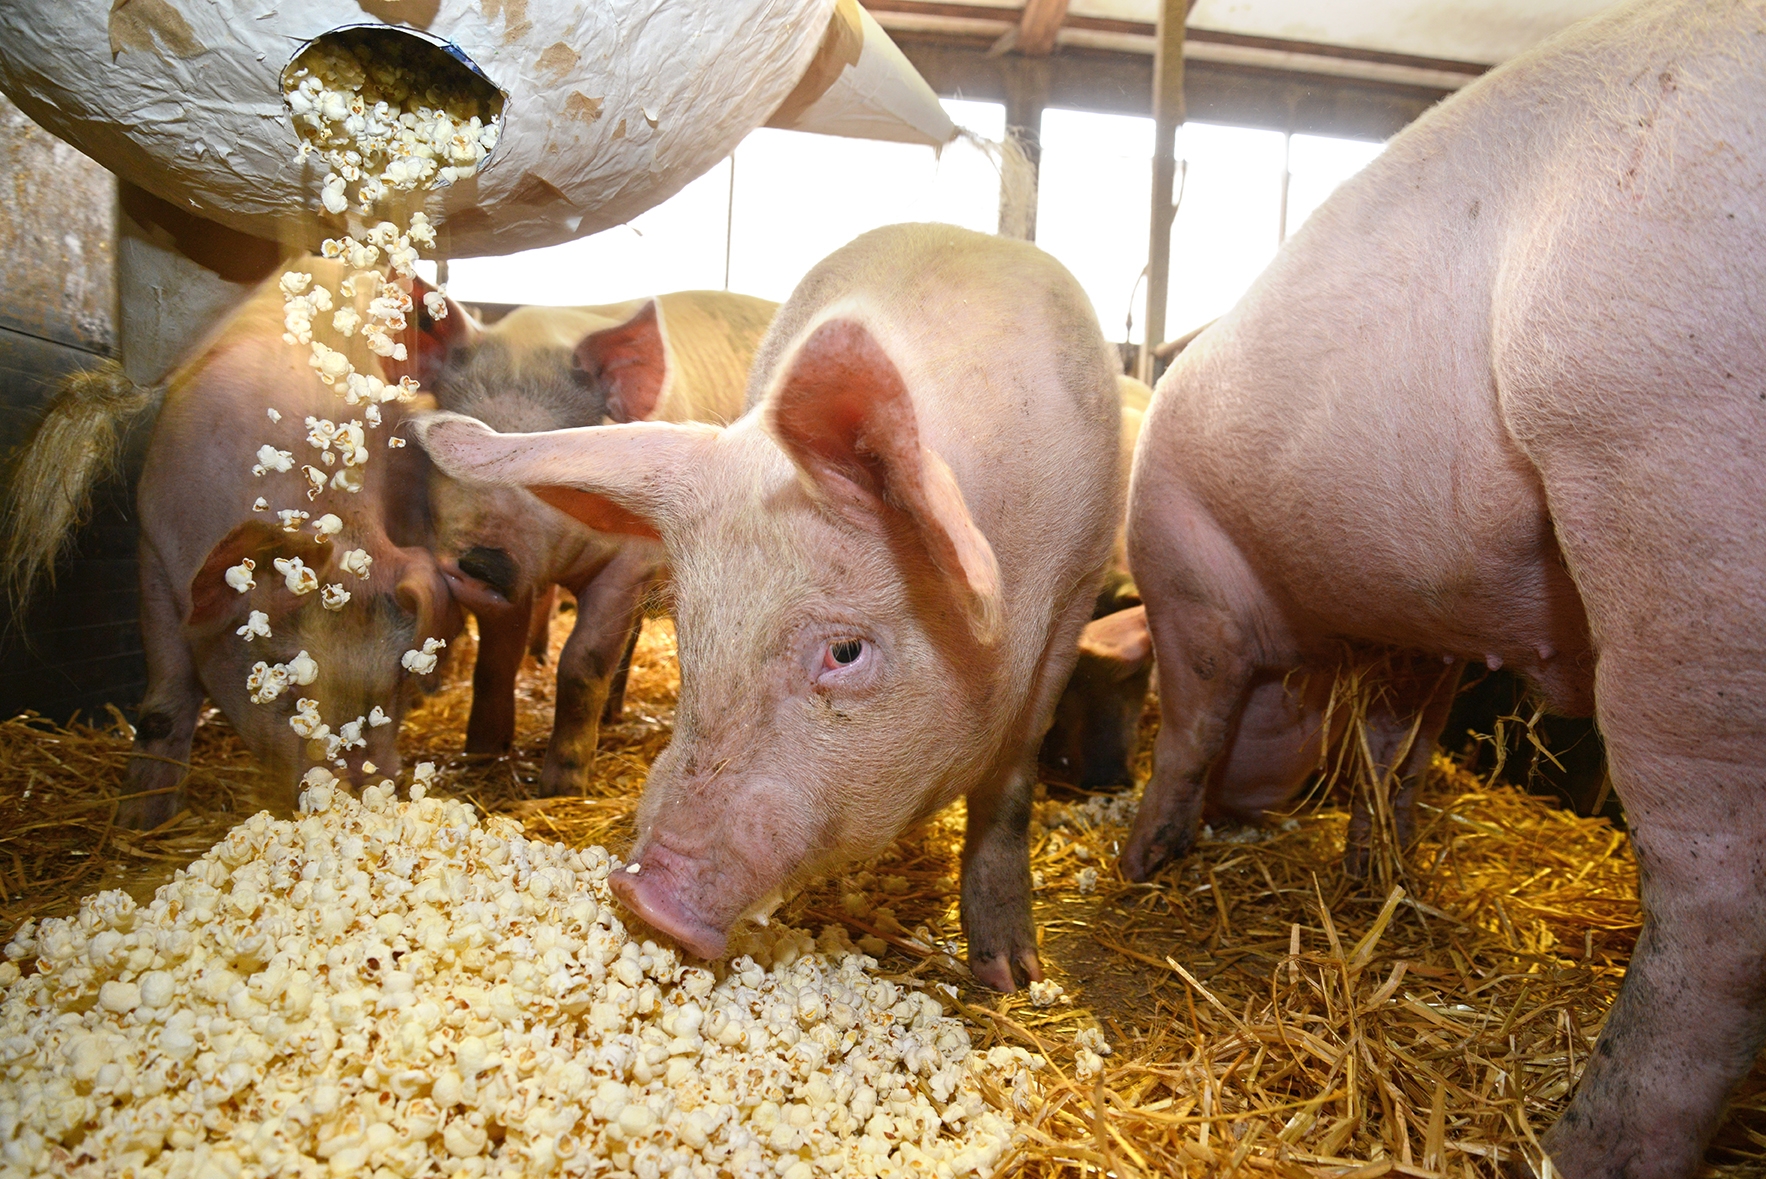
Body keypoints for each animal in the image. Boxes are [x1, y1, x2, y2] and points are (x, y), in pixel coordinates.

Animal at [120, 258, 461, 828]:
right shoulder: (153, 542)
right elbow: (167, 697)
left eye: (397, 685)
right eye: (286, 689)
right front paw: (144, 820)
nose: (355, 791)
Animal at [424, 292, 777, 791]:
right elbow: (496, 660)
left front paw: (559, 788)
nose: (480, 564)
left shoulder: (630, 566)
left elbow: (582, 663)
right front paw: (480, 751)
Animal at [1123, 2, 1766, 1174]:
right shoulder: (1420, 634)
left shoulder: (1184, 574)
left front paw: (1142, 860)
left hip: (1682, 512)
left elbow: (1194, 718)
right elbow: (1397, 758)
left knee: (1716, 909)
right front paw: (1378, 877)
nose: (1245, 809)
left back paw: (1575, 1146)